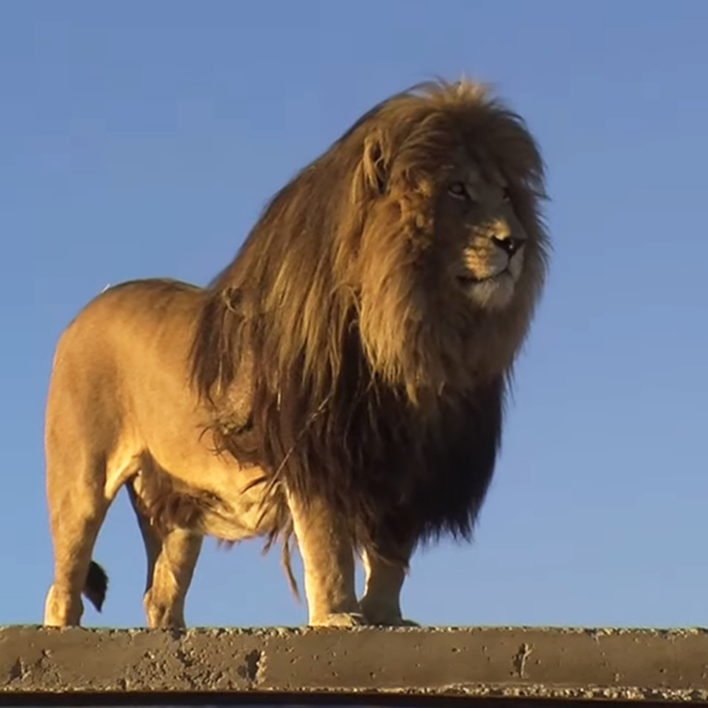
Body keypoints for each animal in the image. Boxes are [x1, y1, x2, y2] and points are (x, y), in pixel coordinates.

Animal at [43, 80, 548, 629]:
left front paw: (386, 618)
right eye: (457, 190)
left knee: (160, 592)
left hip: (179, 506)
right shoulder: (316, 455)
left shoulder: (401, 469)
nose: (515, 242)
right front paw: (338, 617)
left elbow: (390, 557)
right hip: (81, 480)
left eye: (506, 194)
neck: (416, 335)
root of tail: (85, 312)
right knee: (65, 582)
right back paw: (64, 631)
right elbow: (328, 549)